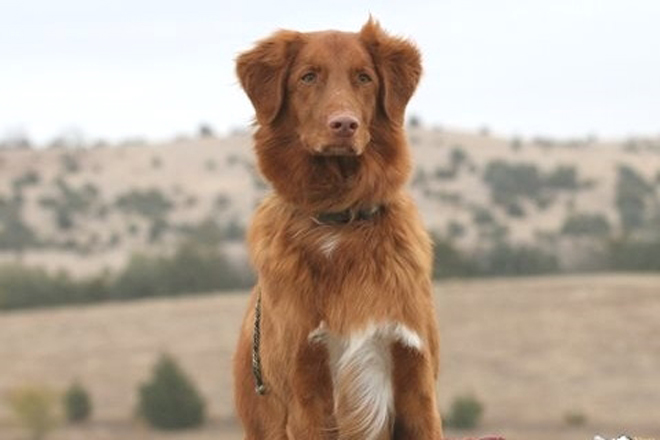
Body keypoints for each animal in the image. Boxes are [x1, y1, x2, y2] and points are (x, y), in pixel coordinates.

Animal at [232, 18, 444, 438]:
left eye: (364, 77)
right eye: (308, 77)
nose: (344, 124)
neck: (339, 216)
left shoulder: (416, 380)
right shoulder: (305, 389)